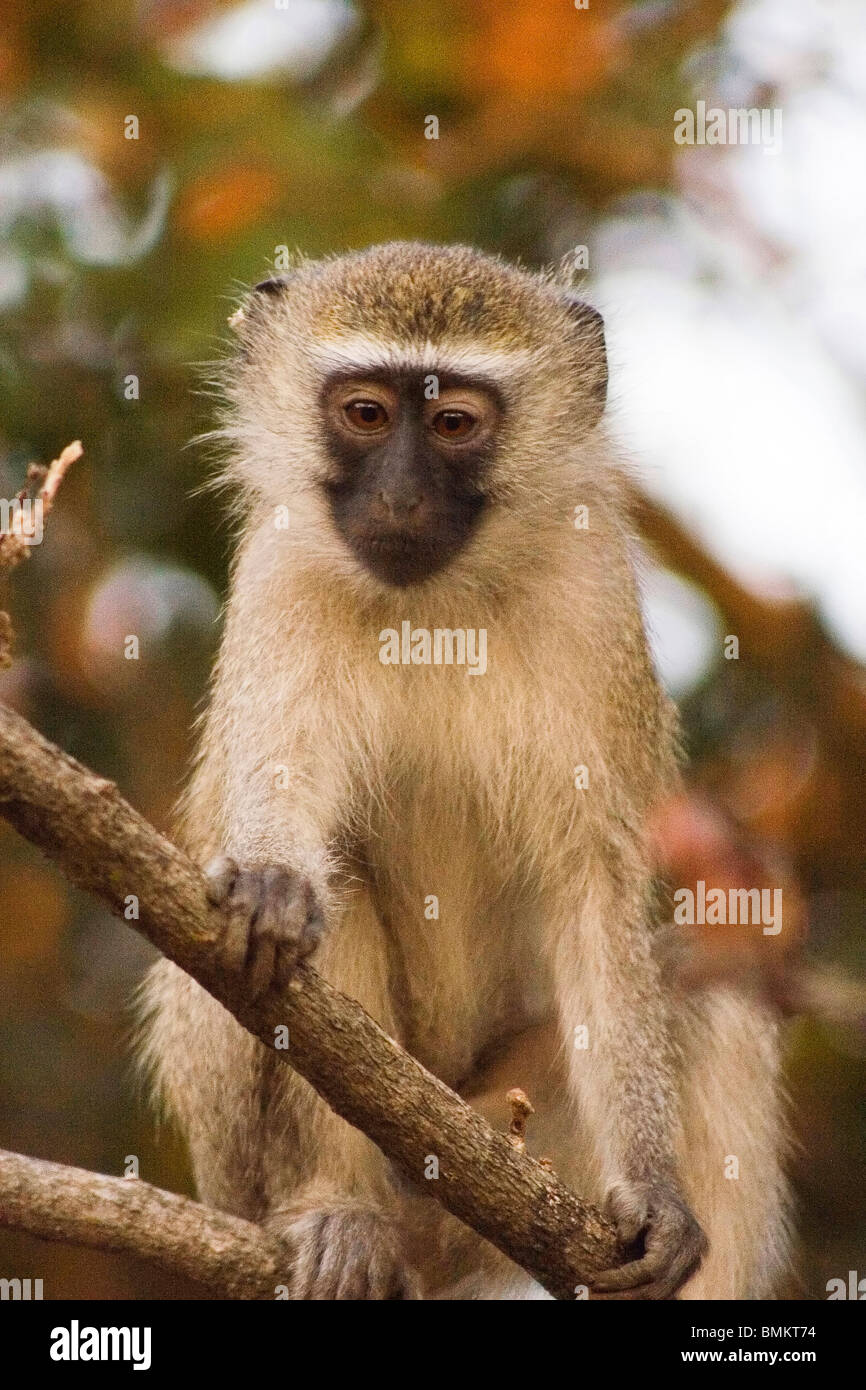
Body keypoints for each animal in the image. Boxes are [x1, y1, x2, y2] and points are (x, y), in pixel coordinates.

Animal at [138, 241, 792, 1300]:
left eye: (454, 423)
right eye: (367, 413)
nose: (401, 499)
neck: (435, 602)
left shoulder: (594, 594)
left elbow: (594, 888)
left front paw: (656, 1191)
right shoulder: (280, 572)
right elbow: (276, 804)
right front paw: (271, 881)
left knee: (711, 978)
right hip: (253, 1162)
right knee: (335, 891)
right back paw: (343, 1214)